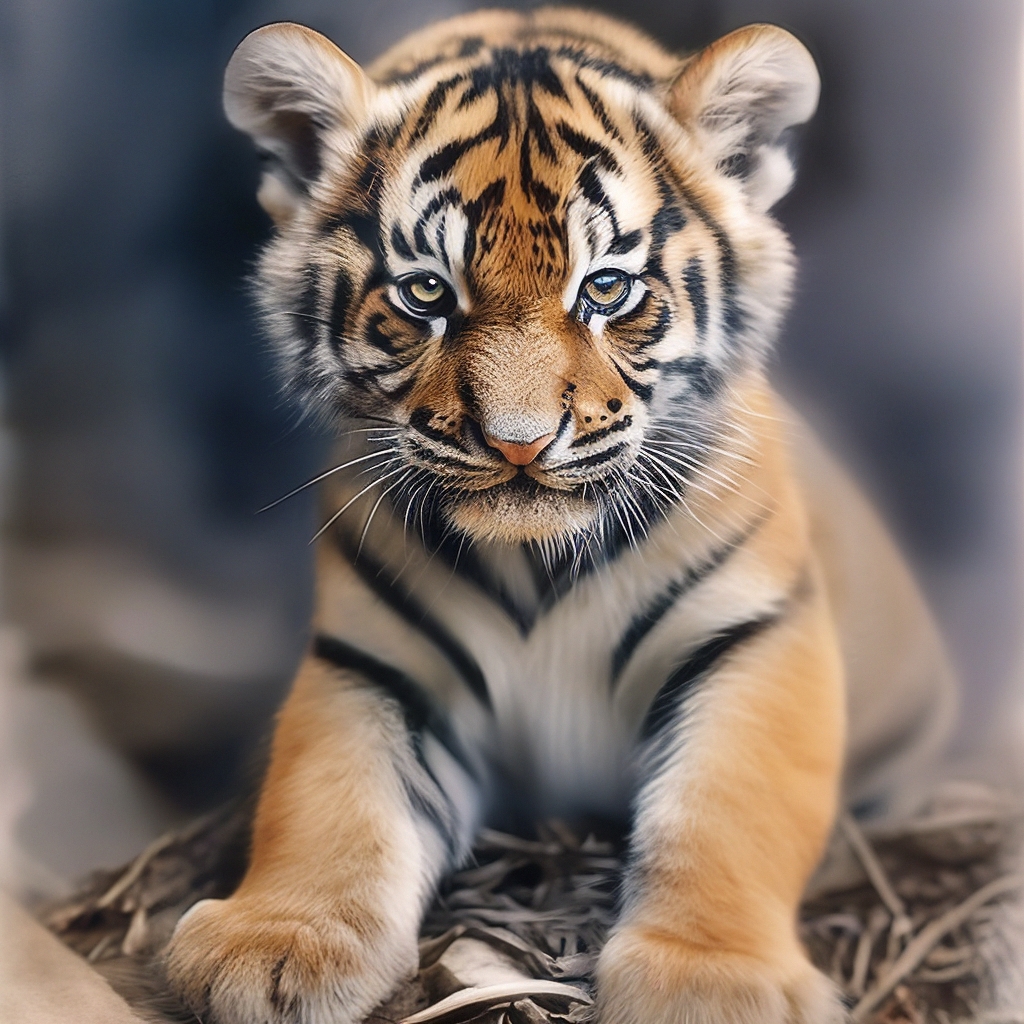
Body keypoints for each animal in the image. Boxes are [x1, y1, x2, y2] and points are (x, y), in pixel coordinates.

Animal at [164, 8, 958, 1024]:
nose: (518, 443)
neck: (535, 561)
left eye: (607, 289)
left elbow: (729, 809)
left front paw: (710, 982)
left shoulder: (753, 637)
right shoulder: (376, 665)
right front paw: (272, 943)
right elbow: (327, 801)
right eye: (427, 293)